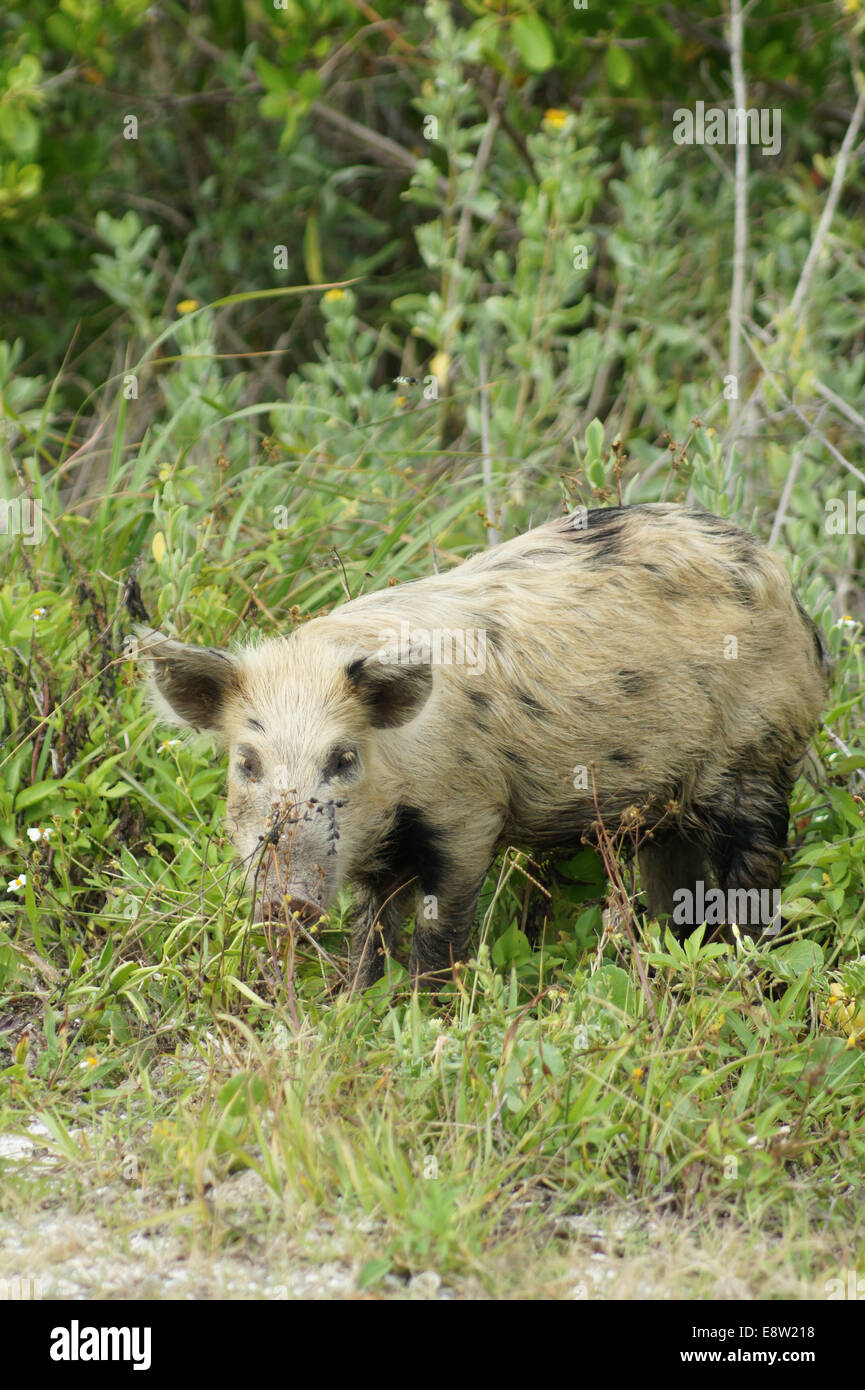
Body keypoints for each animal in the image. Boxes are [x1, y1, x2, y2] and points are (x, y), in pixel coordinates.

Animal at [138, 503, 829, 989]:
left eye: (344, 758)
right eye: (246, 762)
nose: (286, 902)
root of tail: (787, 589)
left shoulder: (468, 815)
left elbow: (439, 926)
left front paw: (422, 1008)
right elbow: (370, 930)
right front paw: (354, 1000)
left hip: (757, 759)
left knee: (755, 871)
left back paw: (747, 964)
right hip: (663, 808)